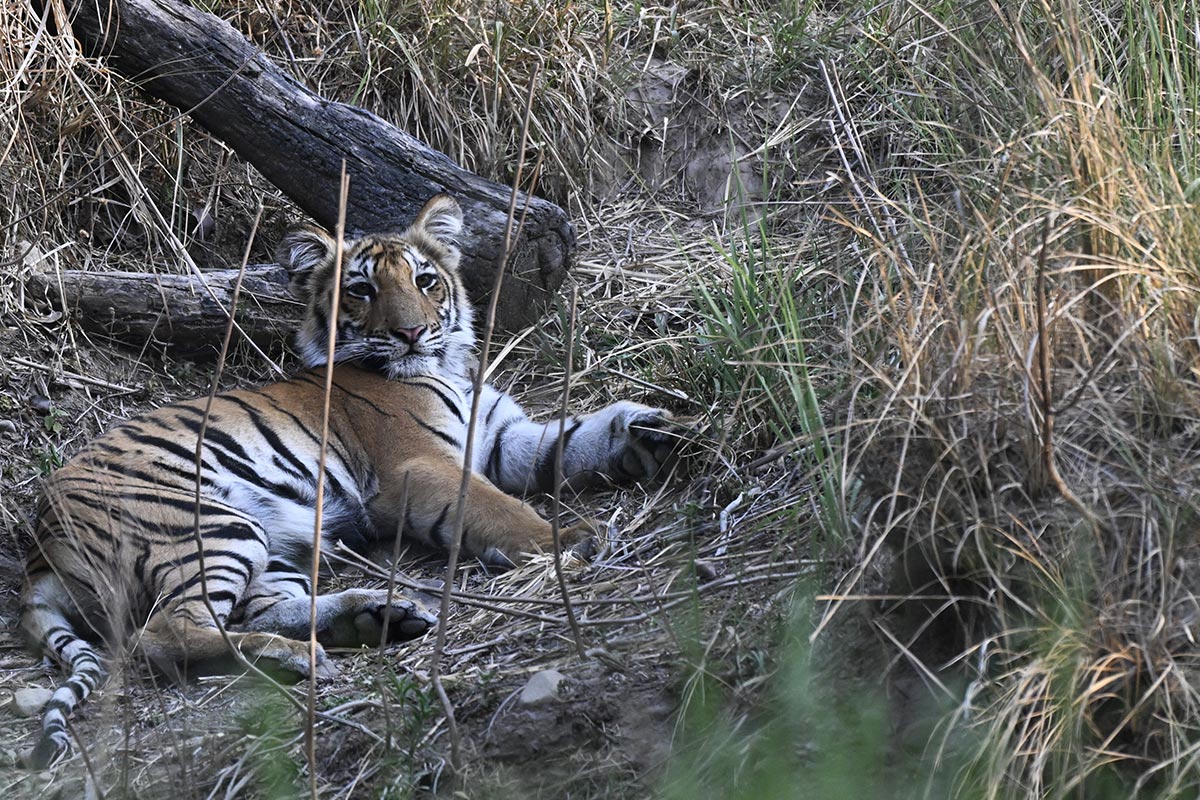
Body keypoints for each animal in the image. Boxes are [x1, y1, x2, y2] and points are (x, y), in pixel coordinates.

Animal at [20, 193, 681, 769]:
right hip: (209, 526)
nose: (411, 333)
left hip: (268, 547)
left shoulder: (500, 439)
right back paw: (303, 654)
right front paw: (570, 540)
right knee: (162, 635)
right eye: (362, 290)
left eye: (425, 281)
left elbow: (572, 439)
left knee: (254, 613)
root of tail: (36, 547)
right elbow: (501, 508)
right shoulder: (420, 464)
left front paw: (650, 431)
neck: (446, 366)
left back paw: (372, 618)